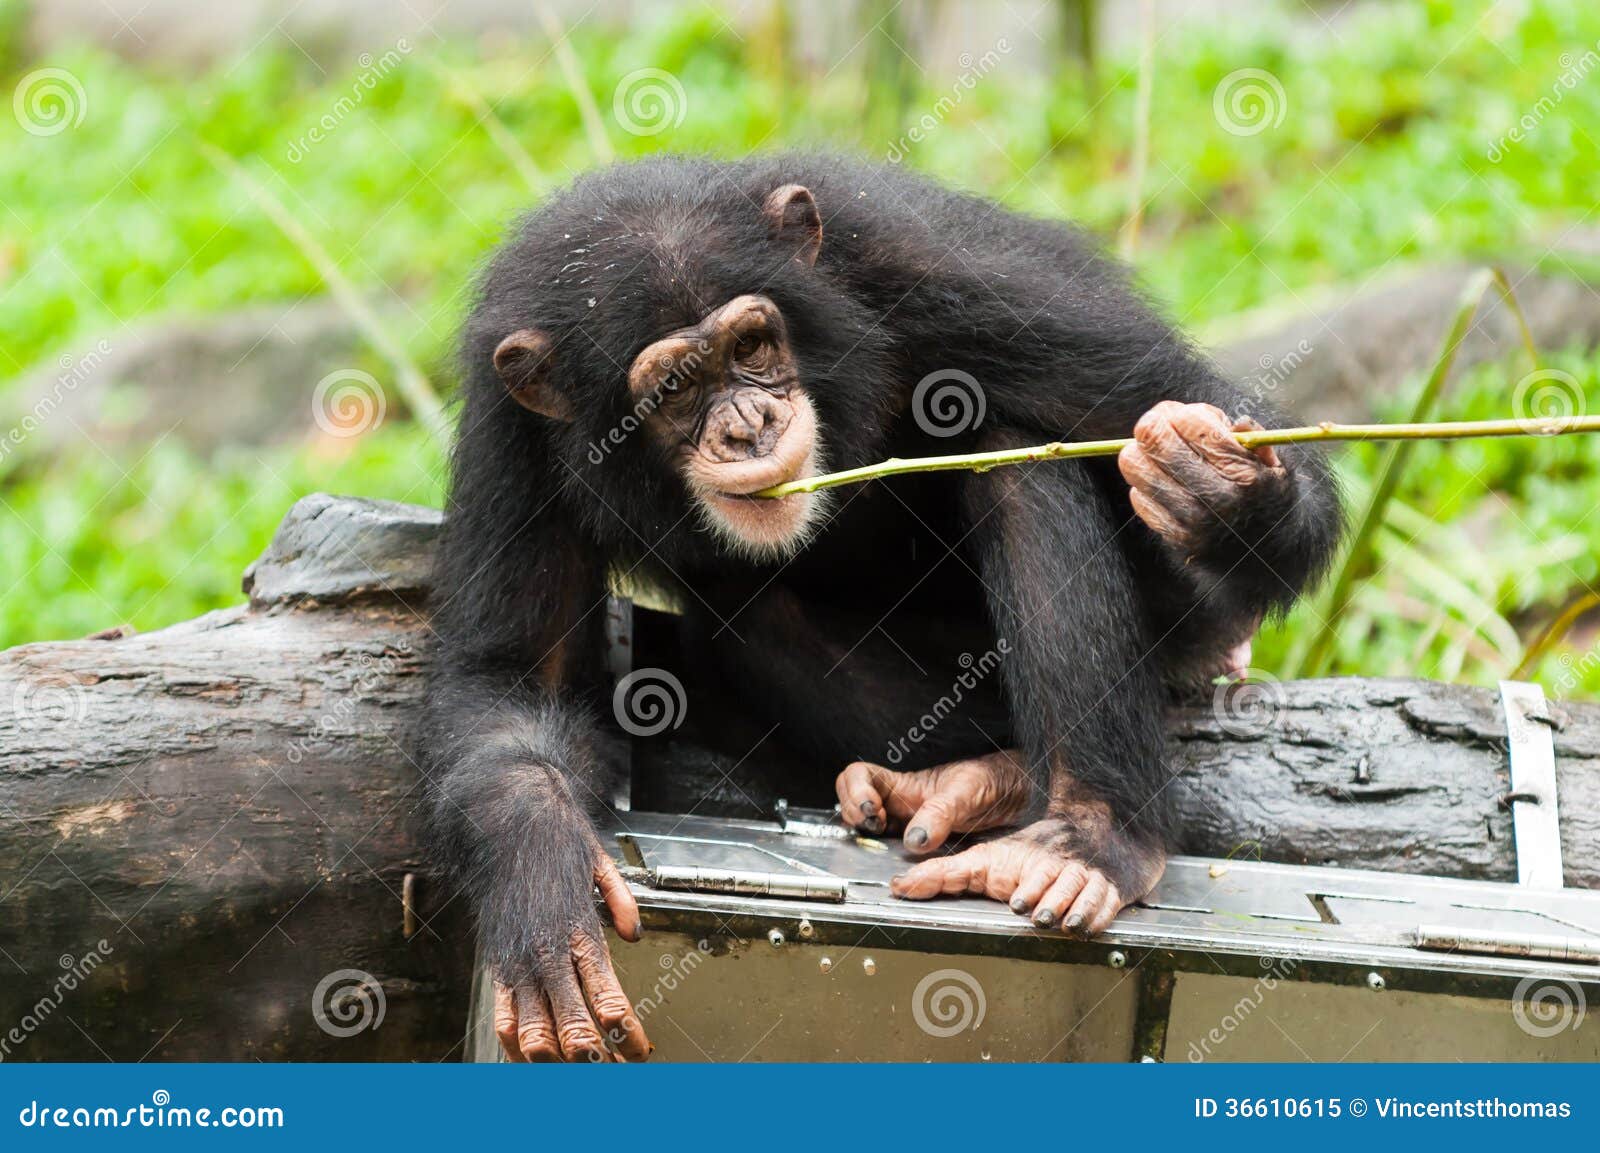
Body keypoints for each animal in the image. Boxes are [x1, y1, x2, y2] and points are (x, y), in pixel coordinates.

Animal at [421, 154, 1342, 1062]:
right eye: (677, 386)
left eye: (750, 345)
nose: (749, 423)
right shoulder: (512, 423)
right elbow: (509, 682)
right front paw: (540, 880)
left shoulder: (942, 274)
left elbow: (1184, 399)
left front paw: (1223, 486)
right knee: (751, 606)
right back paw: (974, 780)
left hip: (1182, 618)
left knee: (1015, 457)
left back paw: (1090, 833)